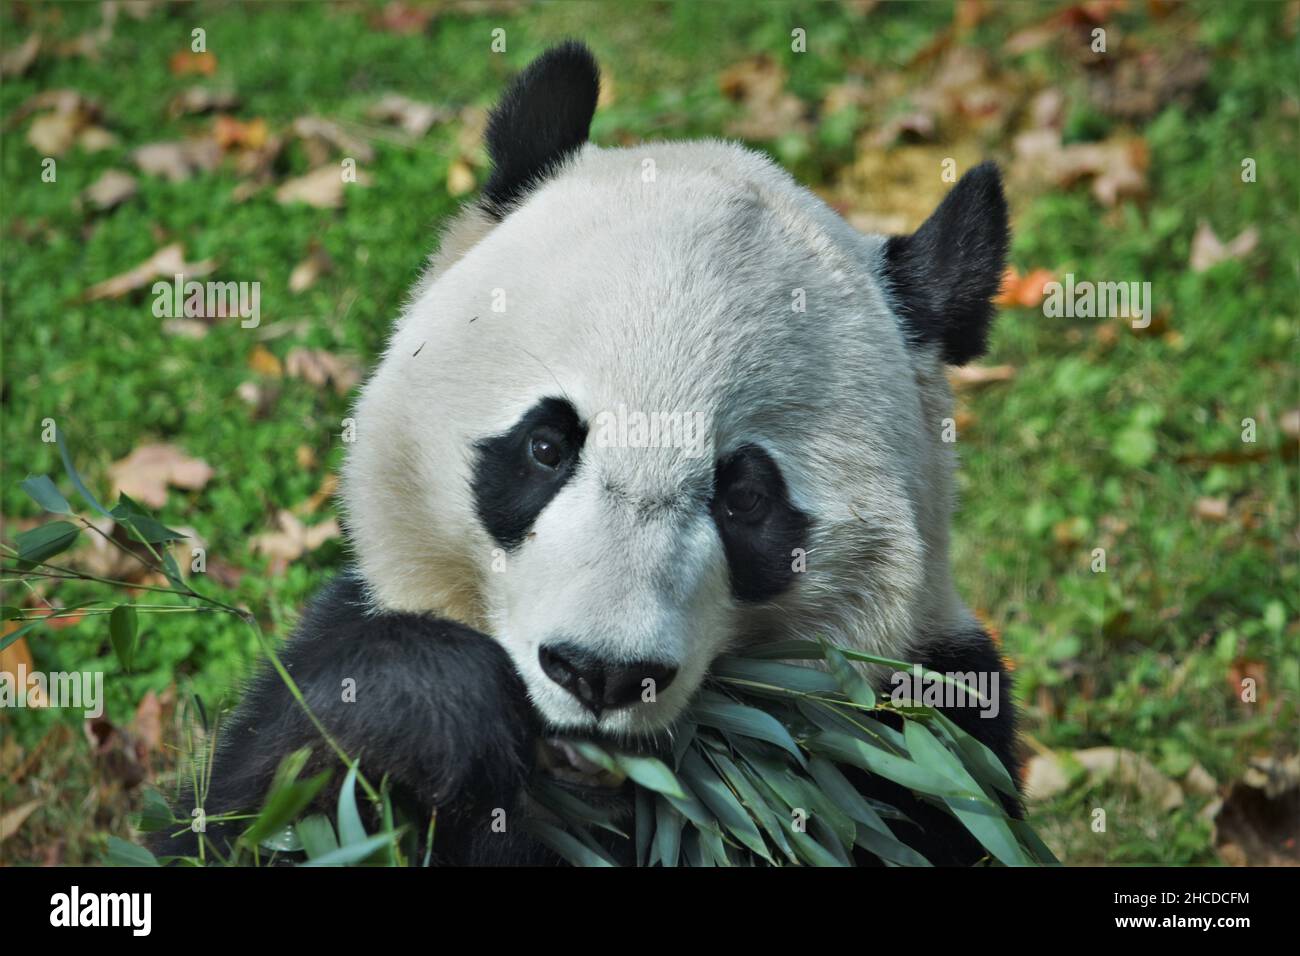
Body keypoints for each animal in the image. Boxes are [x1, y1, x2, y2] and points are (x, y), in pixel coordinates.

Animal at [156, 41, 1017, 866]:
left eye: (746, 497)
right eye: (546, 446)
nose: (601, 671)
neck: (583, 779)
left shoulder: (930, 736)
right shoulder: (337, 645)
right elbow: (248, 813)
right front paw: (434, 711)